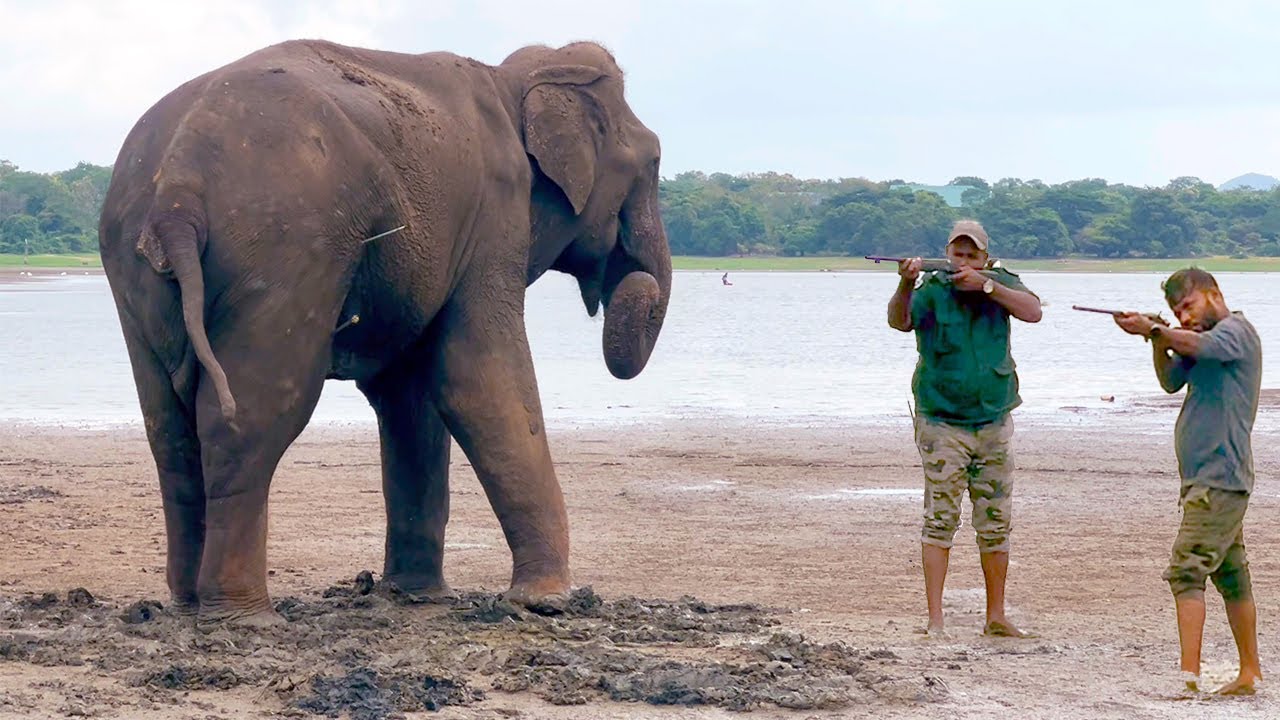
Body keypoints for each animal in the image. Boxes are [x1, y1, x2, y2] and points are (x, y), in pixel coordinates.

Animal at [97, 38, 672, 628]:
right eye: (653, 161)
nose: (639, 285)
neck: (511, 78)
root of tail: (178, 190)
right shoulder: (493, 220)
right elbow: (477, 381)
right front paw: (544, 601)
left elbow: (409, 398)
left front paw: (418, 596)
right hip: (287, 251)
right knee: (249, 418)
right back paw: (247, 618)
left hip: (130, 265)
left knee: (169, 427)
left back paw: (188, 605)